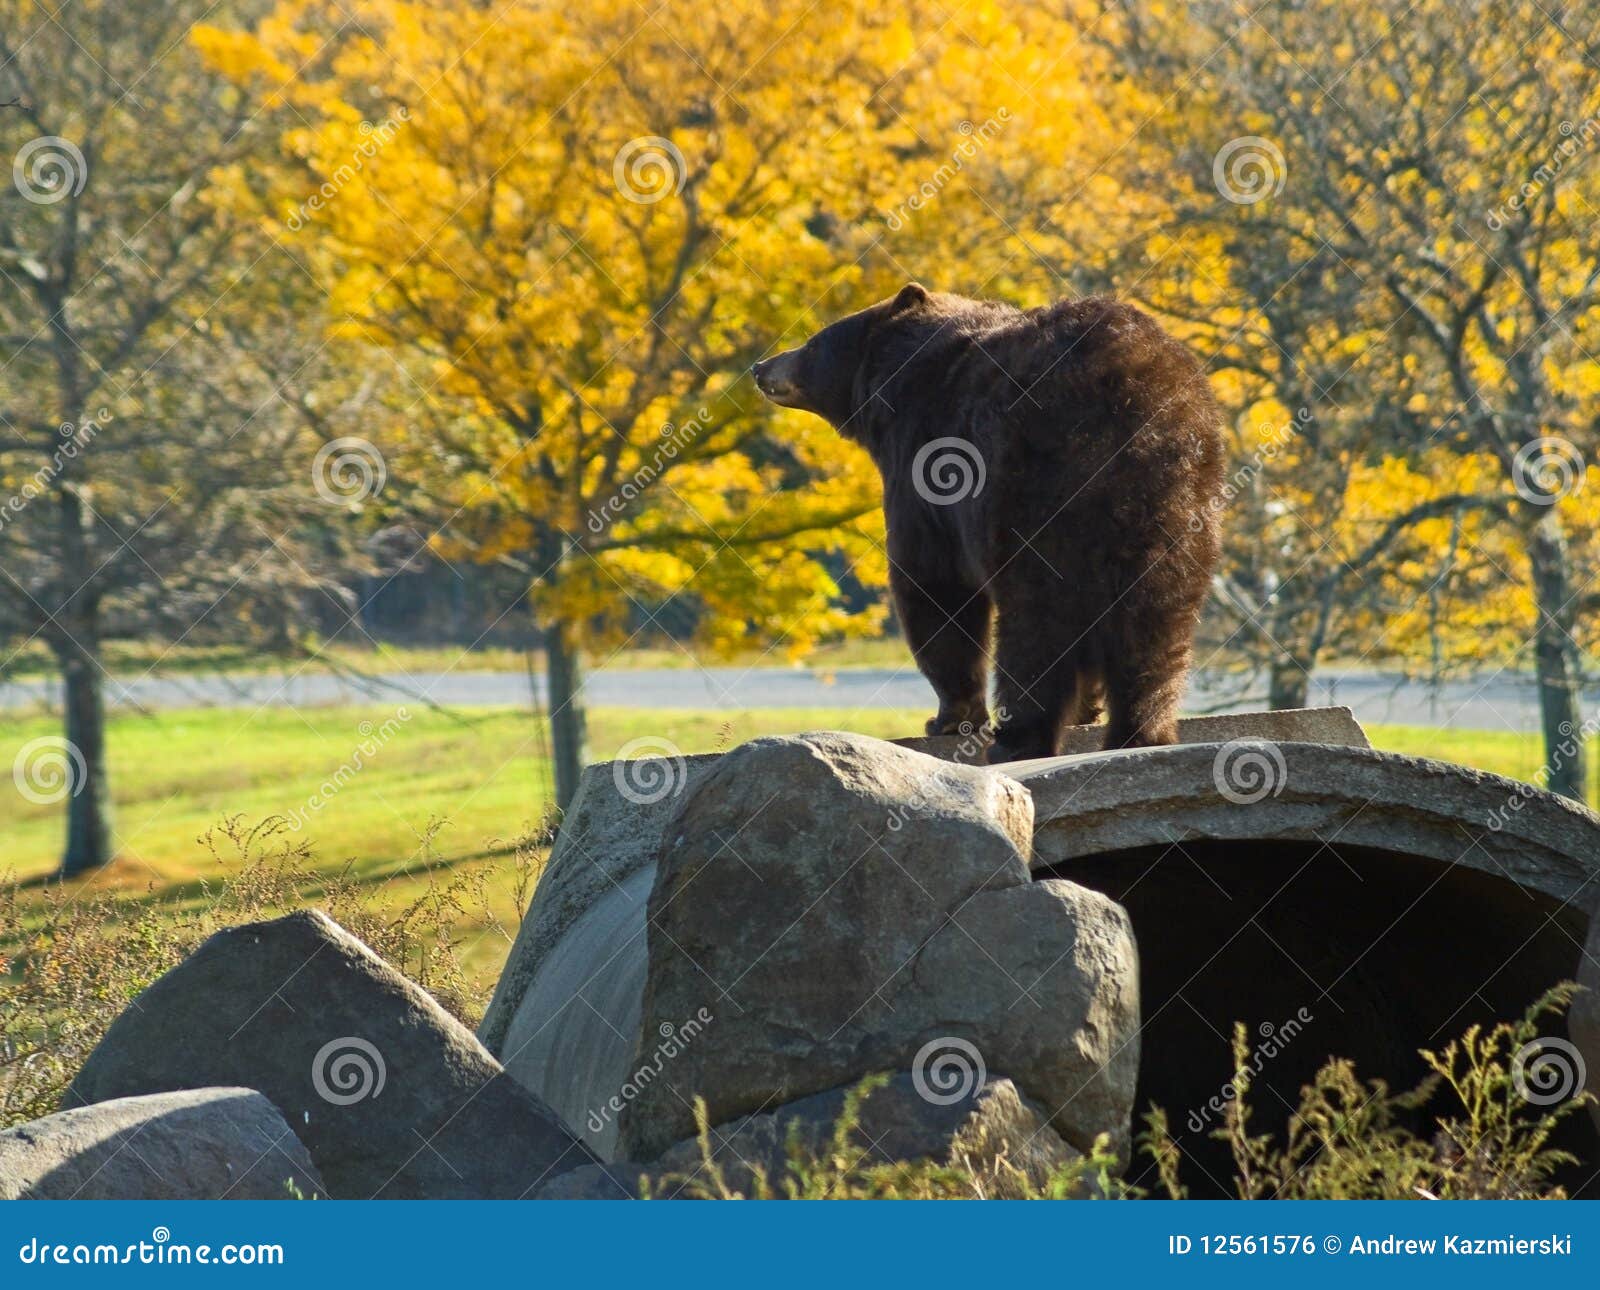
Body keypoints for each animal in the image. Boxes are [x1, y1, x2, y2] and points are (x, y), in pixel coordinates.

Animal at [753, 283, 1225, 762]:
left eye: (813, 343)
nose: (760, 366)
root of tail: (1128, 406)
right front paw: (1087, 708)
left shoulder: (923, 470)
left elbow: (933, 586)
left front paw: (948, 717)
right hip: (1180, 506)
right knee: (1158, 621)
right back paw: (1142, 732)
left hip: (1031, 493)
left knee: (1035, 620)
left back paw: (1017, 739)